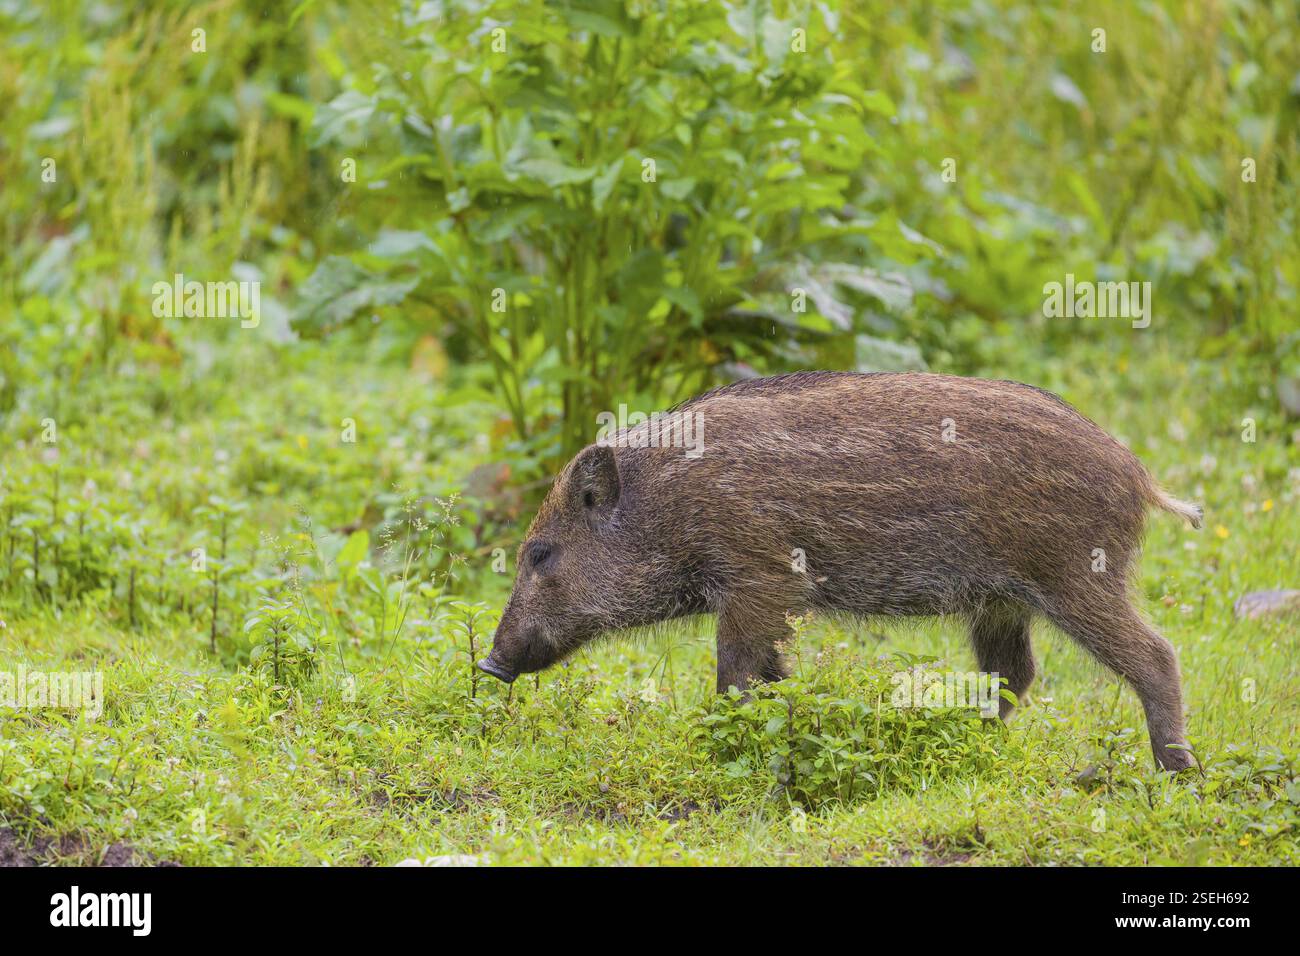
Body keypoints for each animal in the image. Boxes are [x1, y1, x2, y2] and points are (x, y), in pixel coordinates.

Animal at [478, 371, 1203, 771]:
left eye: (540, 552)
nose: (489, 662)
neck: (667, 504)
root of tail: (1139, 474)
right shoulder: (769, 597)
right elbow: (777, 677)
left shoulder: (762, 578)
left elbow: (735, 675)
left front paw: (724, 751)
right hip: (1001, 602)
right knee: (1014, 672)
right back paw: (962, 745)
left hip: (1075, 577)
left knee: (1156, 654)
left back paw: (1177, 774)